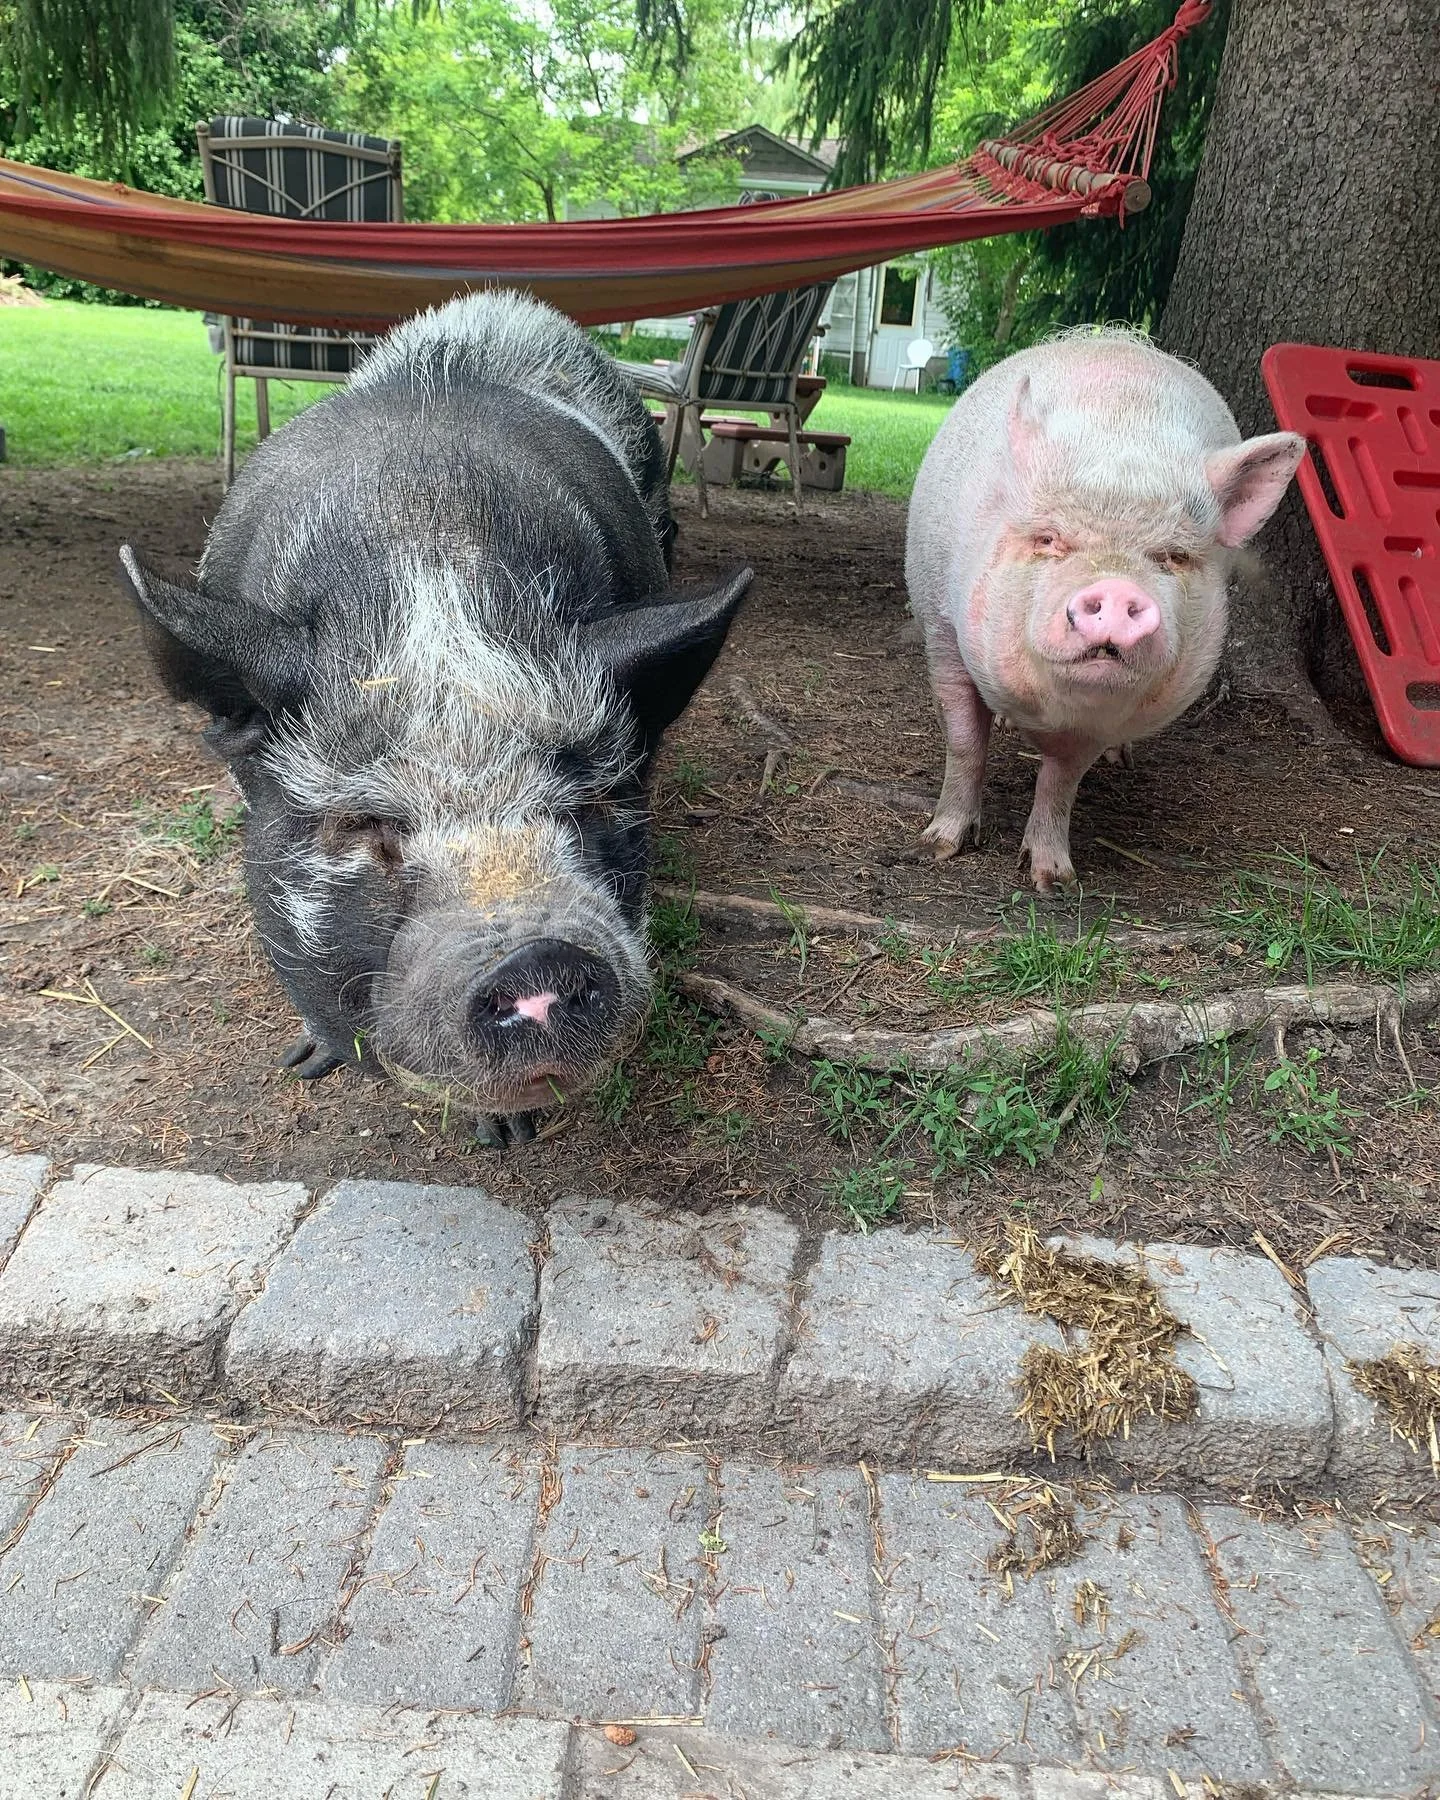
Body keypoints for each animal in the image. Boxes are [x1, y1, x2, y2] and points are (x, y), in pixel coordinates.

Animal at [119, 291, 750, 1145]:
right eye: (366, 826)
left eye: (587, 804)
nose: (537, 958)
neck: (433, 566)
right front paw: (306, 1064)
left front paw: (509, 1138)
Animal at [906, 329, 1306, 891]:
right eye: (1048, 539)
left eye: (1174, 556)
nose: (1117, 590)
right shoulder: (941, 627)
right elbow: (964, 741)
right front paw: (935, 847)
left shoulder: (1100, 721)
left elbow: (1061, 780)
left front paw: (1054, 881)